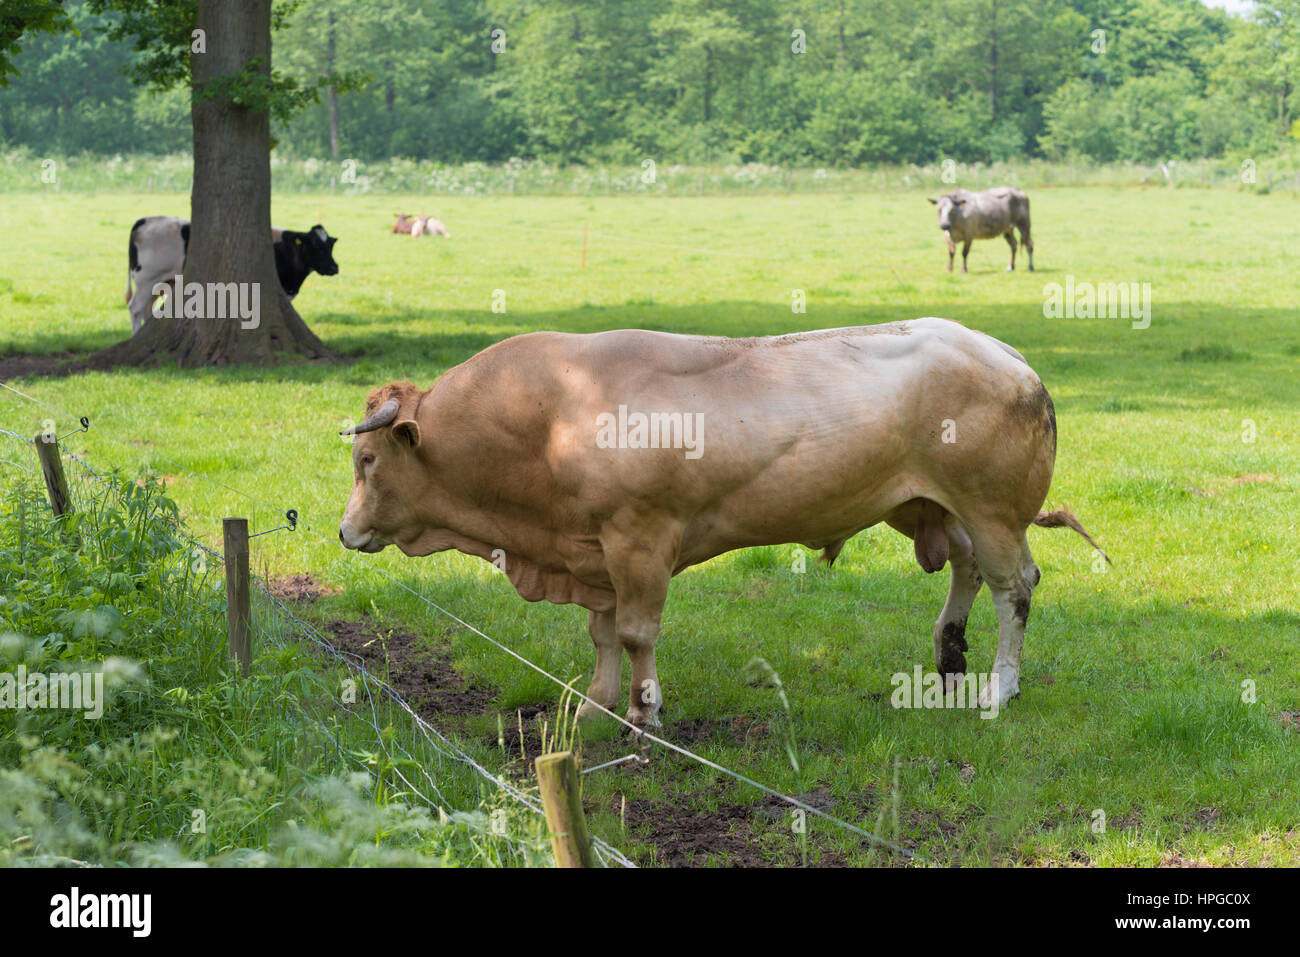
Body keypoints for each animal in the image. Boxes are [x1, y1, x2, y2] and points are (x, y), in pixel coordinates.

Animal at [125, 217, 339, 334]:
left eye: (330, 245)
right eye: (316, 246)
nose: (334, 267)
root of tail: (145, 220)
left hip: (161, 283)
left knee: (147, 309)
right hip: (146, 280)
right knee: (135, 308)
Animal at [337, 318, 1105, 727]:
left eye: (367, 459)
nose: (344, 531)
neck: (547, 418)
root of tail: (1005, 354)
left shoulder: (640, 538)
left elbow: (637, 633)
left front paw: (644, 713)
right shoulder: (596, 550)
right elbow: (602, 633)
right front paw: (595, 706)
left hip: (994, 509)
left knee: (1015, 586)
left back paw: (999, 687)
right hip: (948, 507)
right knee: (970, 573)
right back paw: (948, 655)